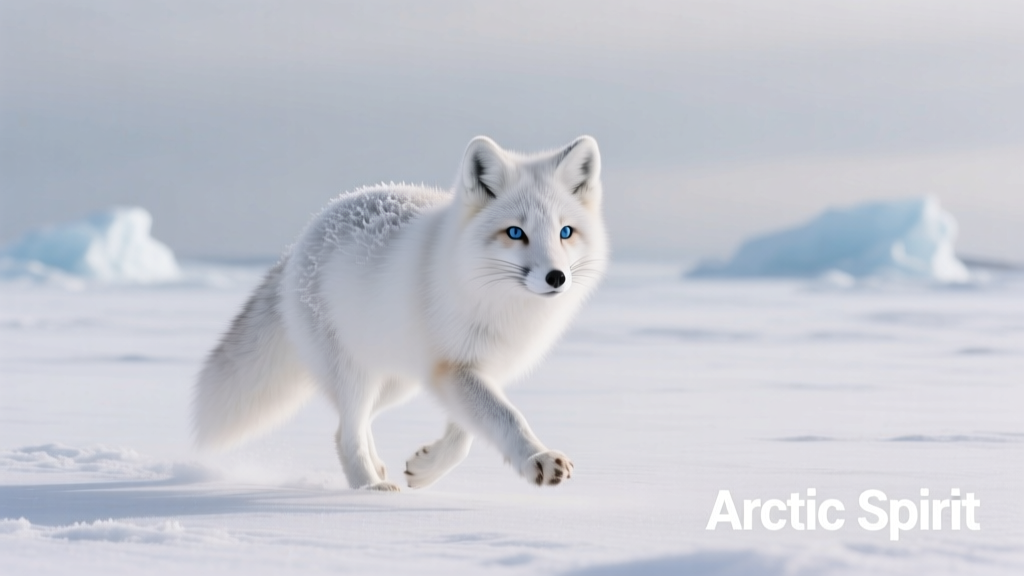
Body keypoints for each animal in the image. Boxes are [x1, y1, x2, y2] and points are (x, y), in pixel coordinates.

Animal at [192, 136, 608, 491]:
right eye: (516, 233)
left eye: (565, 232)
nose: (556, 277)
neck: (498, 300)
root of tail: (298, 244)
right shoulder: (454, 366)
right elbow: (506, 417)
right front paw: (538, 458)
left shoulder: (475, 369)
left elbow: (465, 435)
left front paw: (426, 469)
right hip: (356, 374)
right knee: (346, 431)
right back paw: (369, 487)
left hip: (396, 381)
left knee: (351, 424)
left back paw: (377, 471)